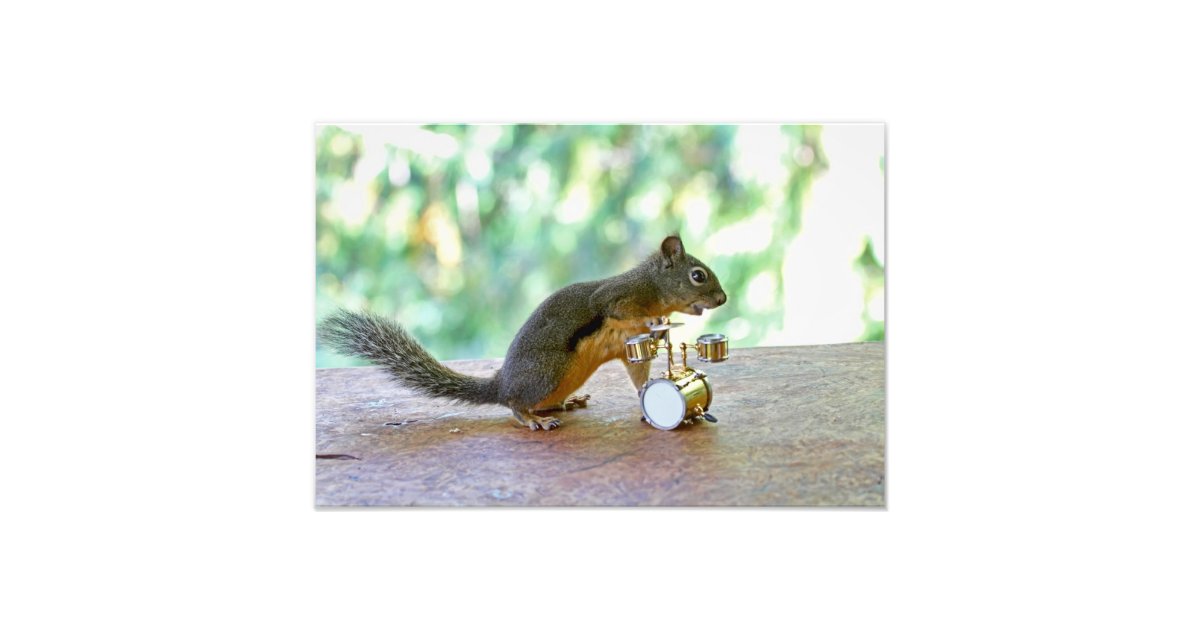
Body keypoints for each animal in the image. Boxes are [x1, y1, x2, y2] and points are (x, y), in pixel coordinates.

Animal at [319, 235, 727, 430]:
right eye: (698, 275)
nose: (722, 299)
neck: (653, 287)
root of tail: (500, 384)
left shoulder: (632, 348)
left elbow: (641, 376)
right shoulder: (617, 297)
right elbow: (617, 311)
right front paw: (654, 324)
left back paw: (563, 404)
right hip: (548, 371)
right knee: (514, 406)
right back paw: (534, 419)